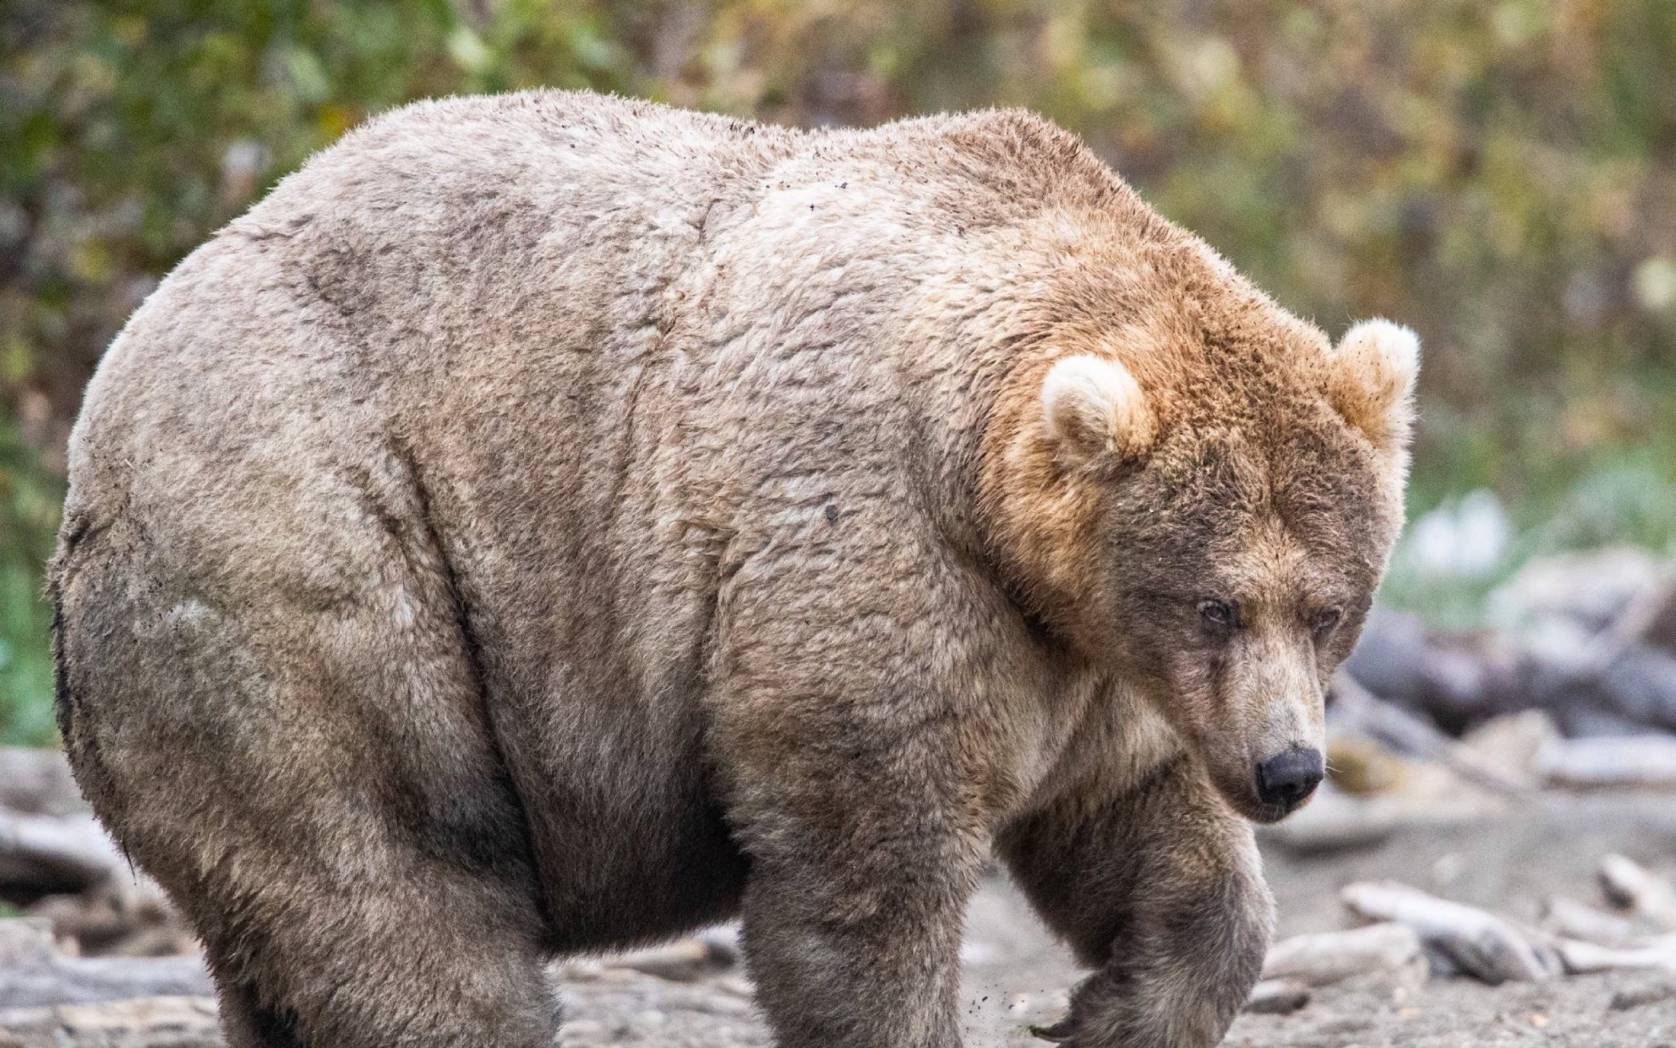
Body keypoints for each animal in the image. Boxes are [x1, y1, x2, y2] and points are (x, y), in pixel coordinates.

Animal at [49, 91, 1418, 1048]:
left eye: (1326, 606)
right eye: (1215, 601)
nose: (1288, 769)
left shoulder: (1086, 659)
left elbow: (1142, 831)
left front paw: (1109, 1007)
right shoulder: (873, 546)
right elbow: (866, 876)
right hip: (310, 557)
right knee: (395, 887)